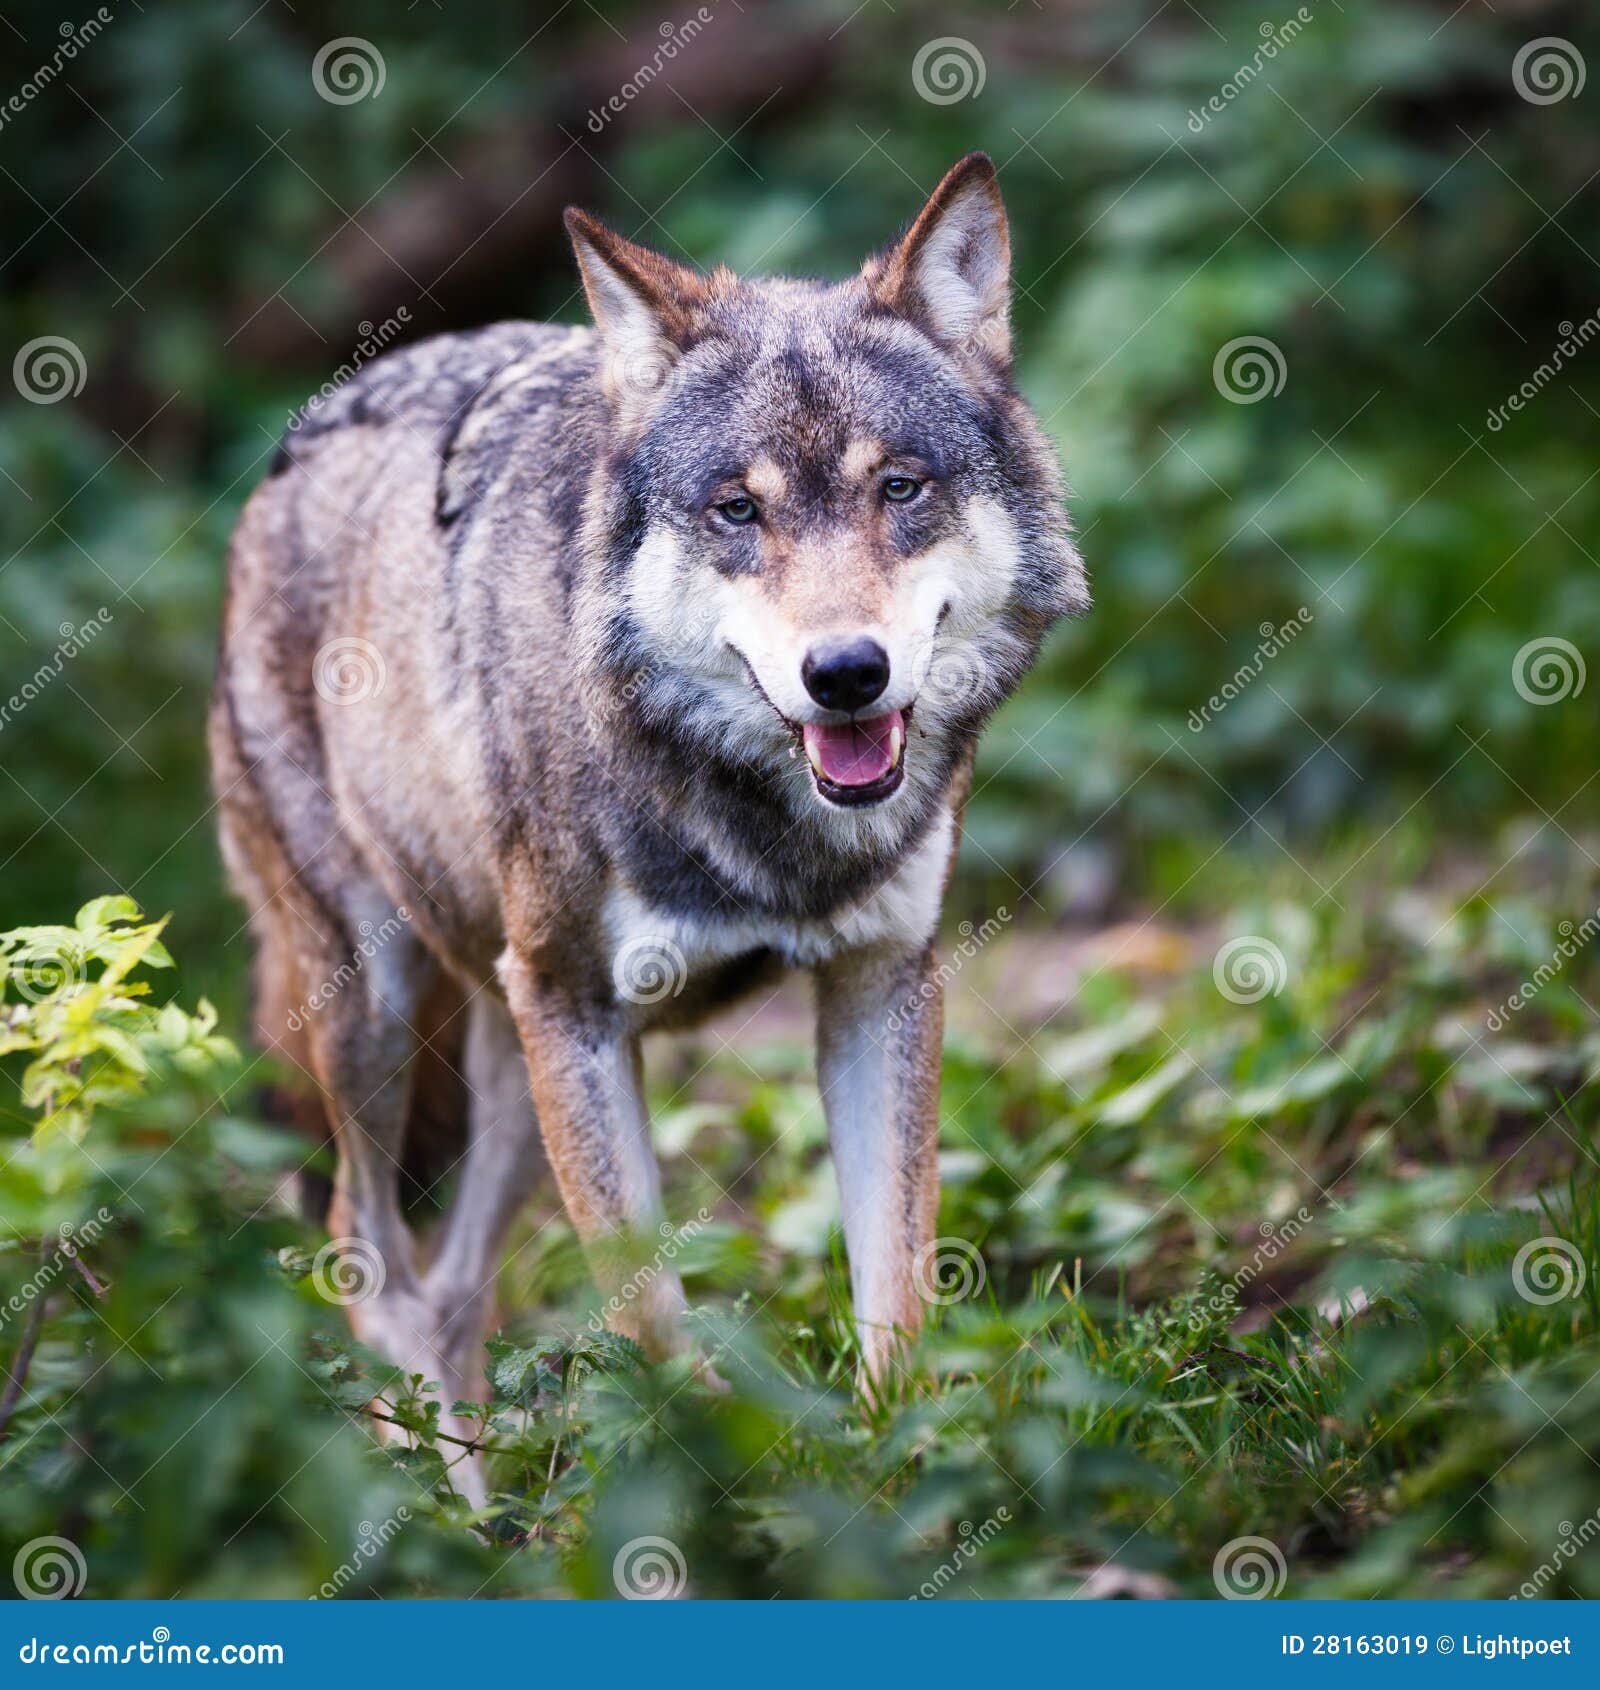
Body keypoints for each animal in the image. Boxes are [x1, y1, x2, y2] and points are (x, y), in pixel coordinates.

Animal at [211, 153, 1086, 1473]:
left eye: (898, 488)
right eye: (737, 511)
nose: (847, 673)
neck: (753, 816)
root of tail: (289, 452)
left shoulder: (882, 985)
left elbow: (898, 1299)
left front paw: (894, 1472)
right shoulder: (577, 1012)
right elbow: (655, 1323)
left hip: (513, 1064)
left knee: (457, 1295)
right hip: (386, 1009)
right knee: (375, 1273)